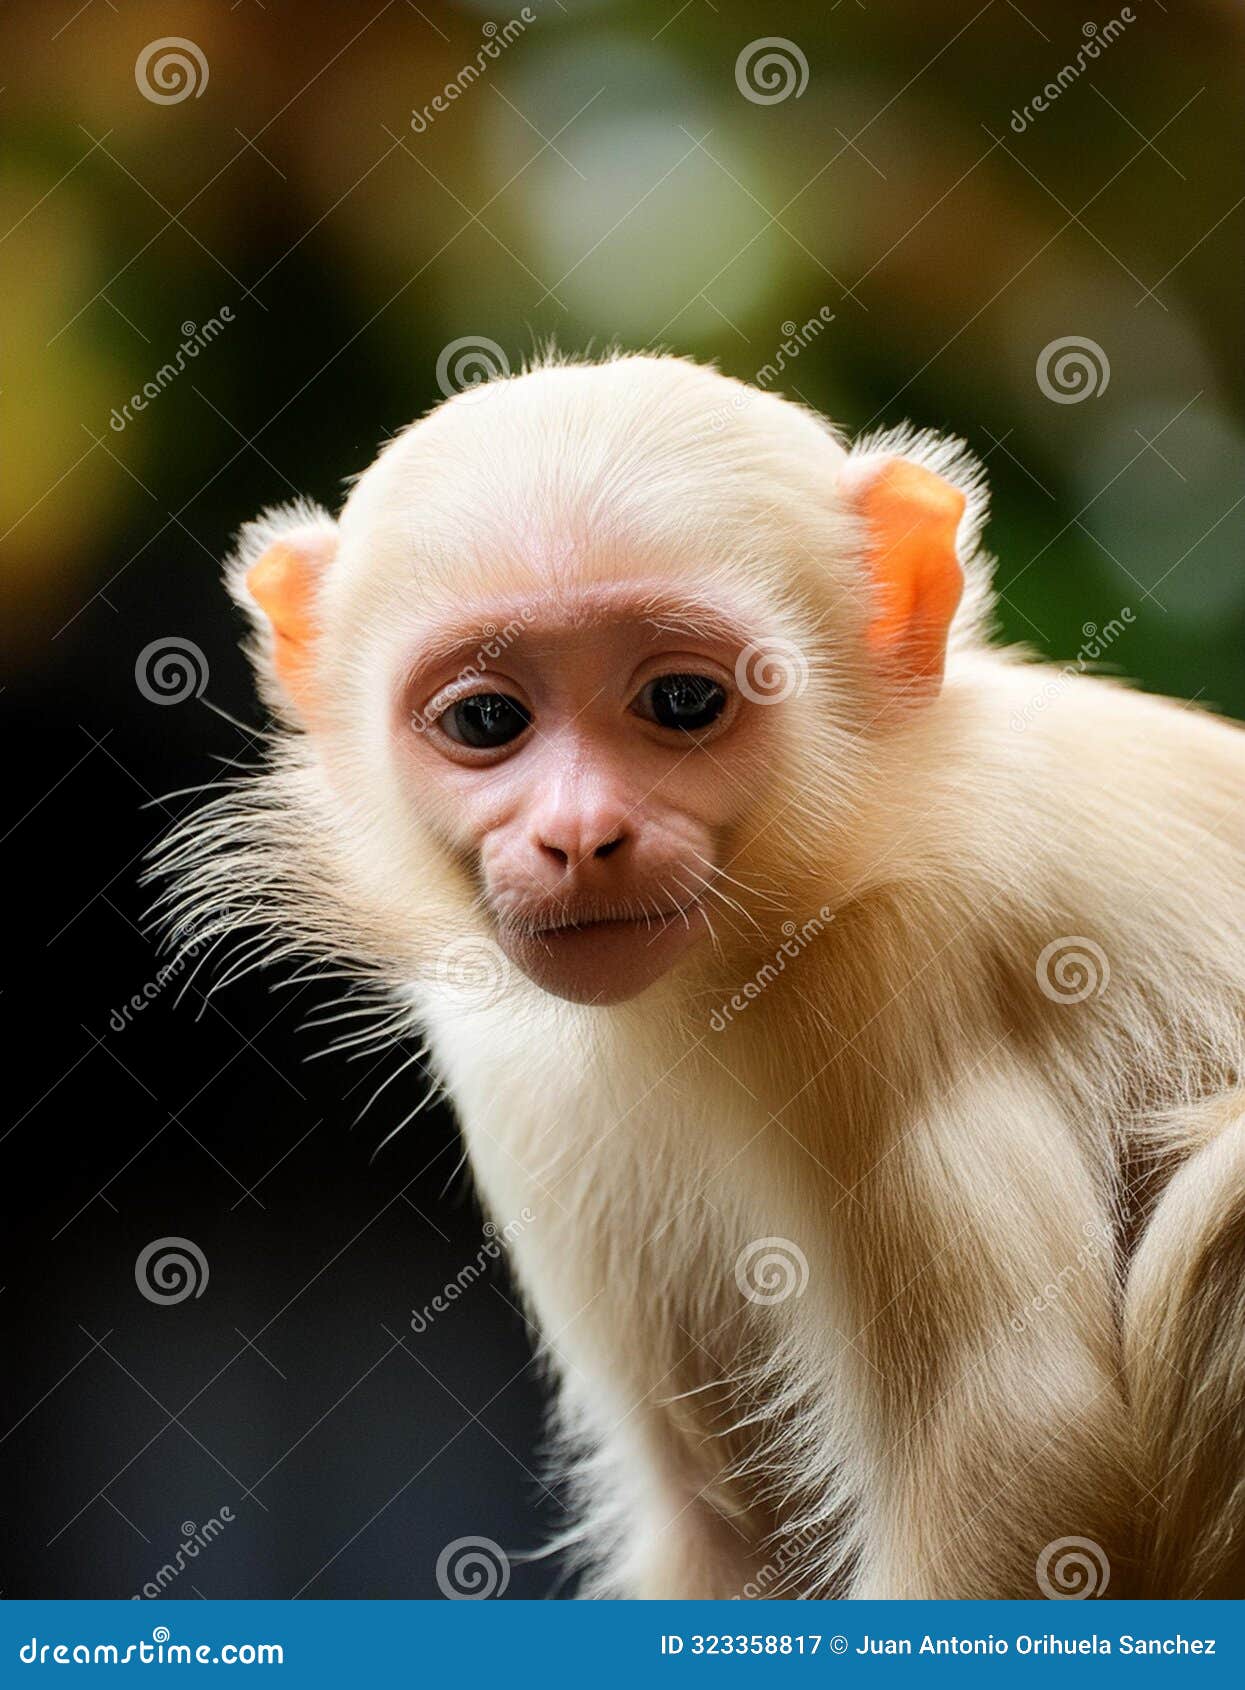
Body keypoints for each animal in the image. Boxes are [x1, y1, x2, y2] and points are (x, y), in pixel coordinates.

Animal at [151, 352, 1245, 1601]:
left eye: (682, 701)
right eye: (486, 718)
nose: (581, 835)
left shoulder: (876, 973)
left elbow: (1022, 1456)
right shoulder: (520, 1072)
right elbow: (728, 1527)